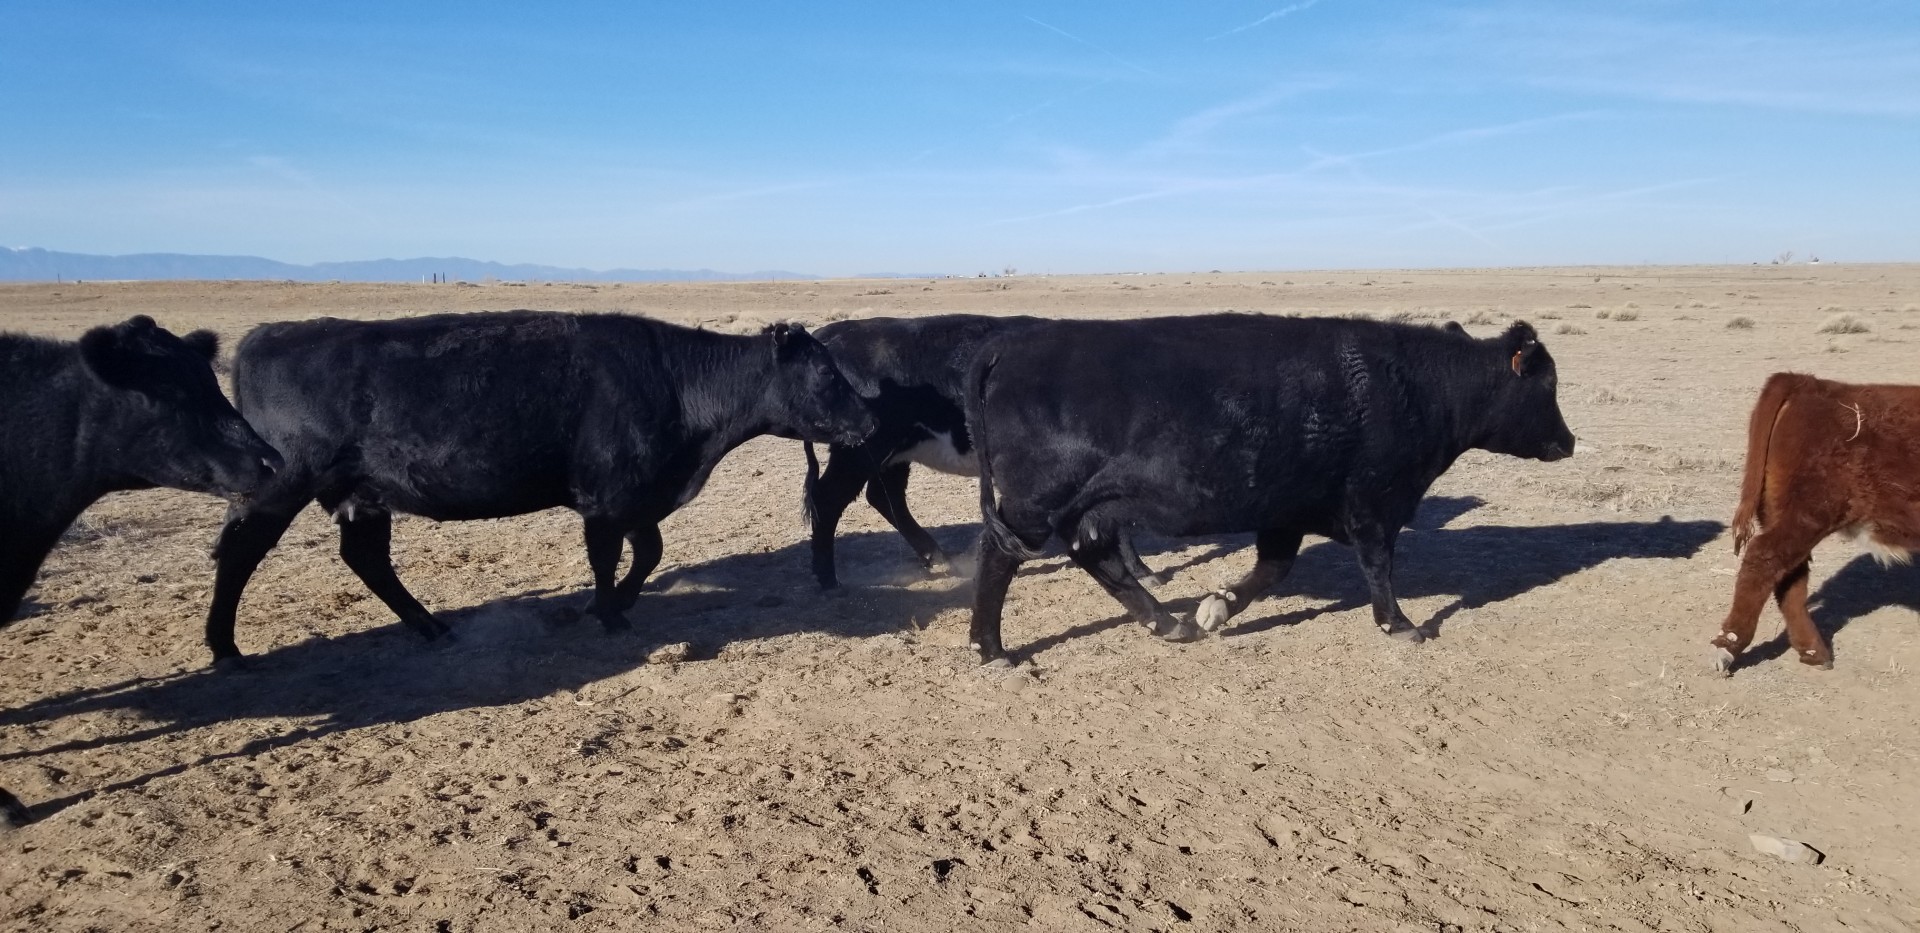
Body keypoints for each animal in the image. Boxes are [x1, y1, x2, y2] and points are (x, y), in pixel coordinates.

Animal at [202, 311, 875, 664]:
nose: (869, 423)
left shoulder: (637, 496)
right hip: (279, 485)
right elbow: (609, 558)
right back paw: (225, 647)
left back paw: (431, 627)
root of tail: (265, 334)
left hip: (363, 494)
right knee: (239, 551)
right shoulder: (606, 498)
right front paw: (609, 615)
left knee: (366, 558)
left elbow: (648, 553)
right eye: (825, 373)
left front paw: (612, 606)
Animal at [804, 314, 1164, 589]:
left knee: (885, 497)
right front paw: (1142, 571)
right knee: (829, 498)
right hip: (860, 451)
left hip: (894, 453)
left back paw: (937, 557)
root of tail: (833, 333)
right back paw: (828, 579)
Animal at [964, 314, 1575, 665]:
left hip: (1087, 507)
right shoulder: (1375, 502)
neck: (1412, 385)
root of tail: (1008, 346)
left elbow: (1272, 569)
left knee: (1096, 556)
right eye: (1546, 386)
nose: (1568, 442)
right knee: (998, 556)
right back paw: (990, 648)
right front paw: (1399, 624)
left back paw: (1169, 623)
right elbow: (1378, 566)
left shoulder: (1286, 510)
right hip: (1033, 505)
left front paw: (1216, 609)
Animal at [1711, 373, 1920, 674]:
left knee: (1789, 579)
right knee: (1762, 559)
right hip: (1809, 513)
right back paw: (1728, 646)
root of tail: (1807, 382)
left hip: (1785, 515)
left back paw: (1813, 652)